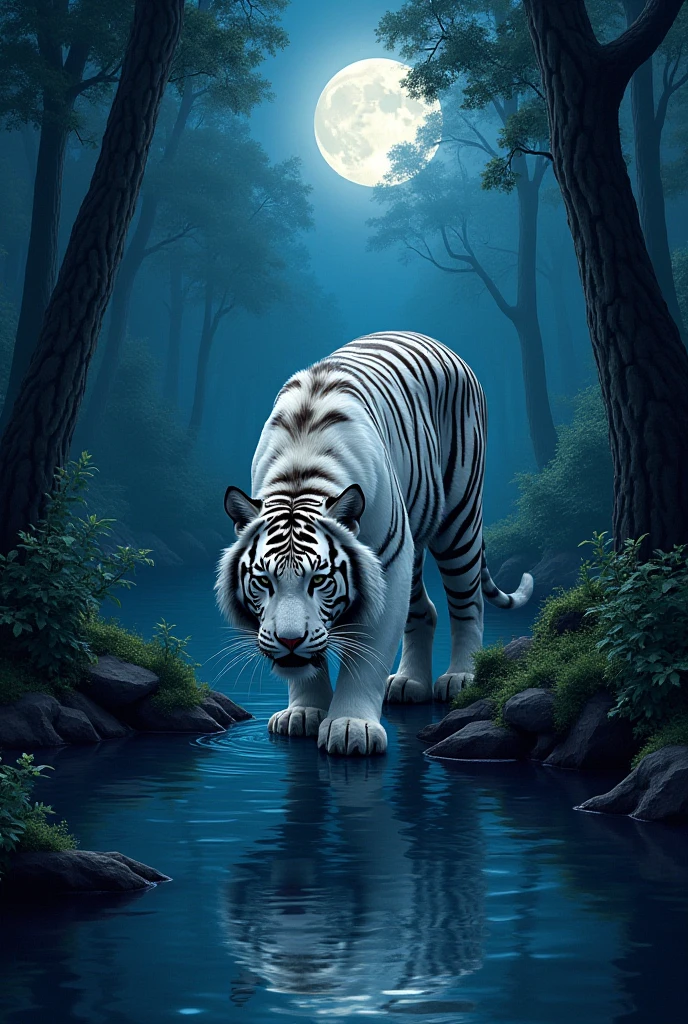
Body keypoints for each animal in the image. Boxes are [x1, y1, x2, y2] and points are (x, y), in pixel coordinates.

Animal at [216, 331, 533, 756]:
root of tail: (433, 340)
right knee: (425, 610)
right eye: (263, 581)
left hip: (459, 518)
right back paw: (409, 683)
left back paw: (461, 677)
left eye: (319, 580)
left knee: (468, 601)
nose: (290, 641)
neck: (300, 477)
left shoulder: (386, 564)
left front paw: (351, 727)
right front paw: (303, 712)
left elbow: (368, 654)